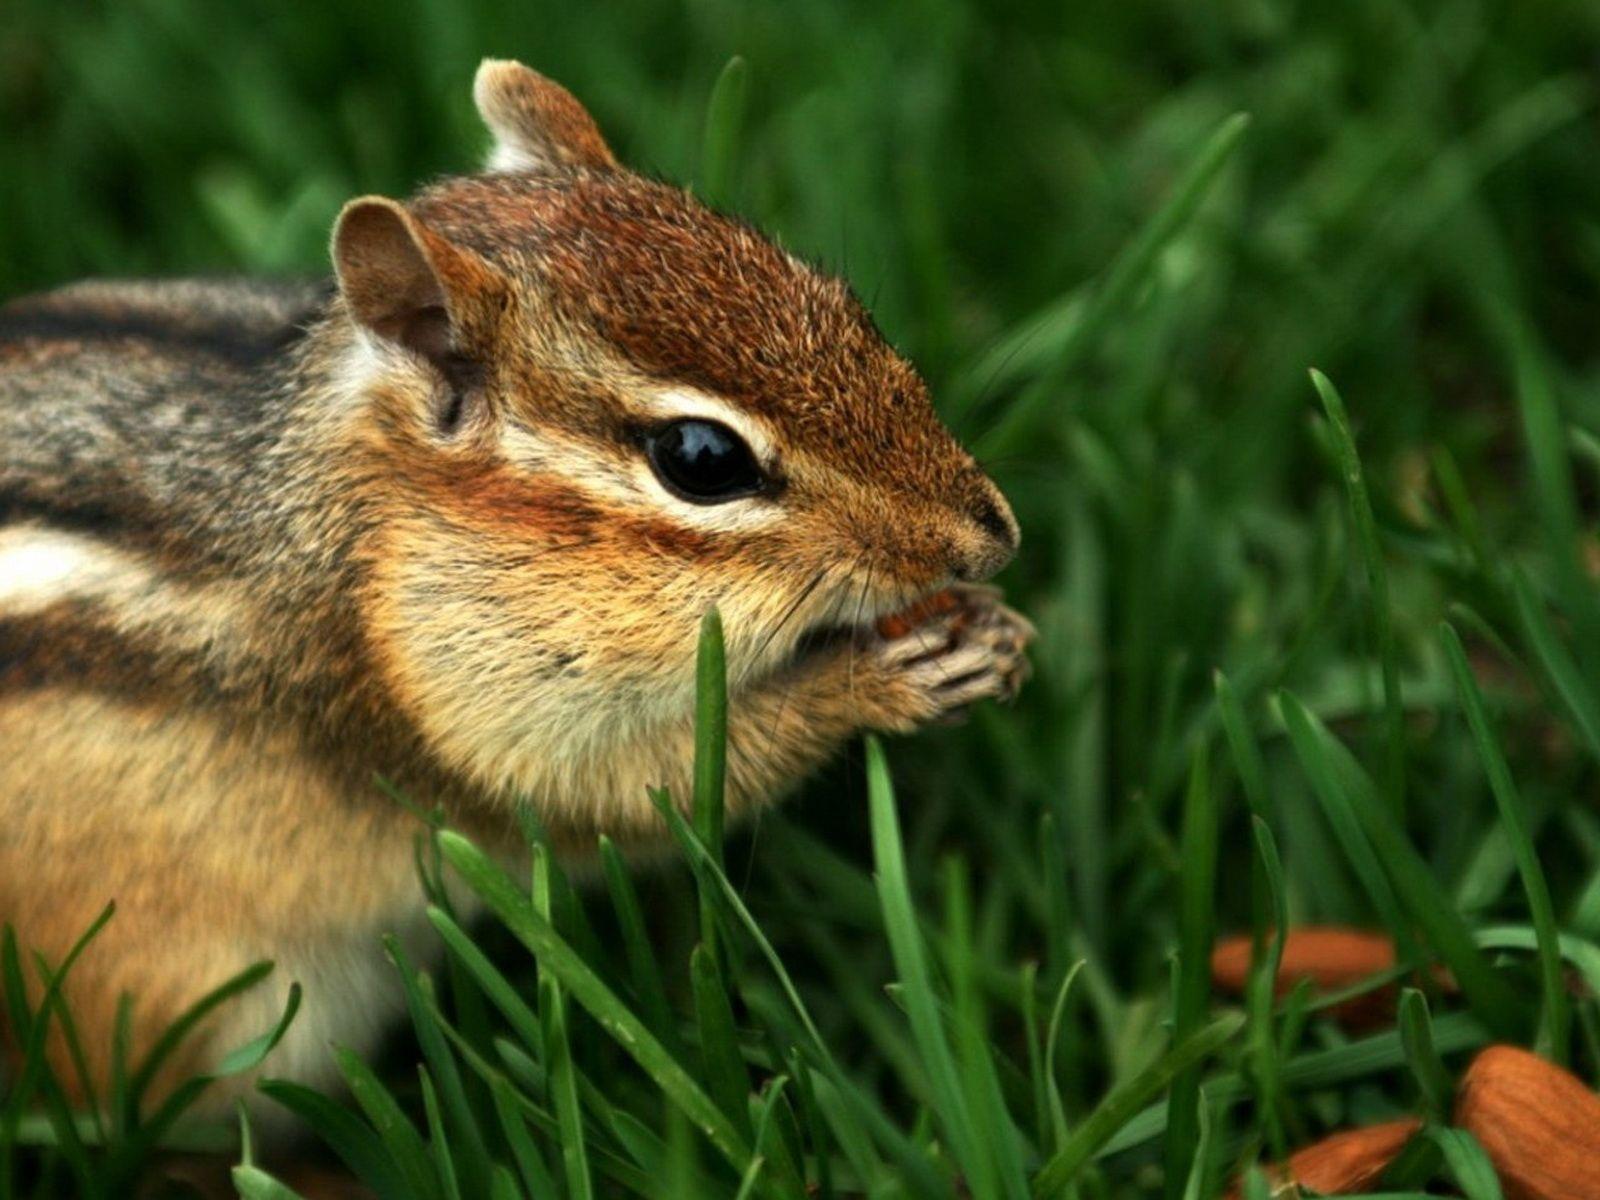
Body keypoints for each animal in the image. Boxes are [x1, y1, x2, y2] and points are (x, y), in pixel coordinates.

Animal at [0, 61, 1033, 1122]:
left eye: (841, 303)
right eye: (701, 459)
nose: (991, 538)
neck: (362, 528)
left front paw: (996, 631)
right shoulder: (475, 717)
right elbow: (649, 789)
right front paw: (878, 681)